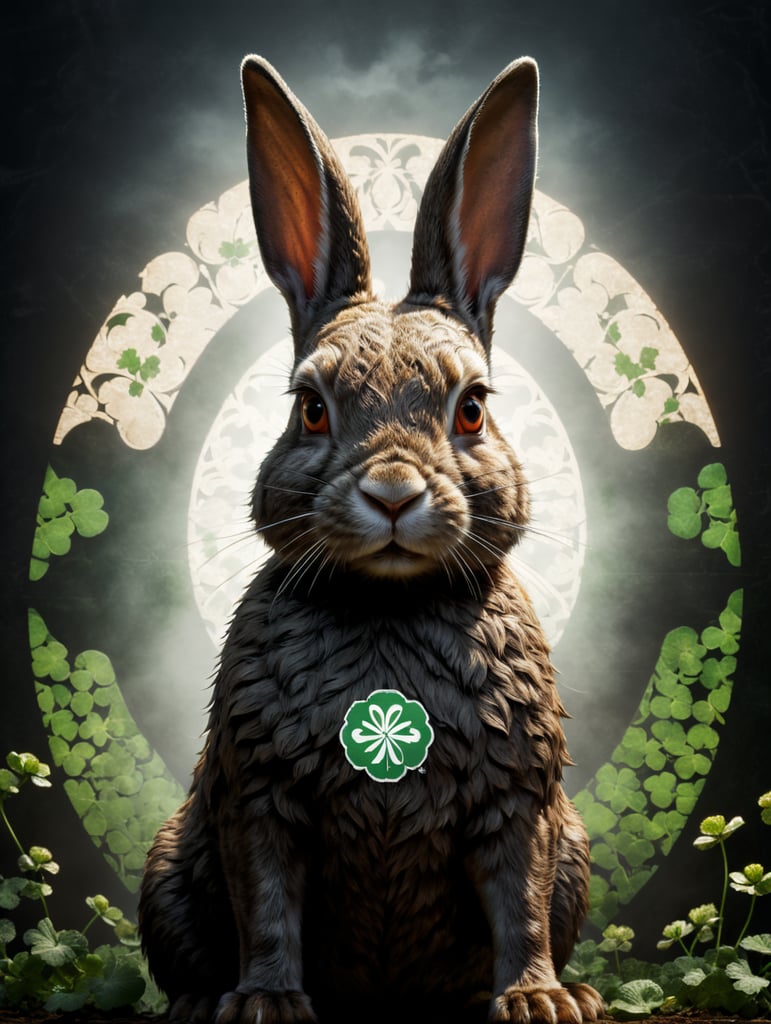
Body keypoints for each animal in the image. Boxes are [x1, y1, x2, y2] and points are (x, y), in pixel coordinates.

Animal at [138, 55, 604, 1024]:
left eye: (472, 407)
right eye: (310, 408)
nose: (392, 493)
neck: (387, 605)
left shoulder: (520, 803)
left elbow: (519, 903)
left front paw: (537, 1001)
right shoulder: (258, 801)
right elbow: (267, 903)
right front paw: (266, 1003)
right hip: (167, 871)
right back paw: (199, 1002)